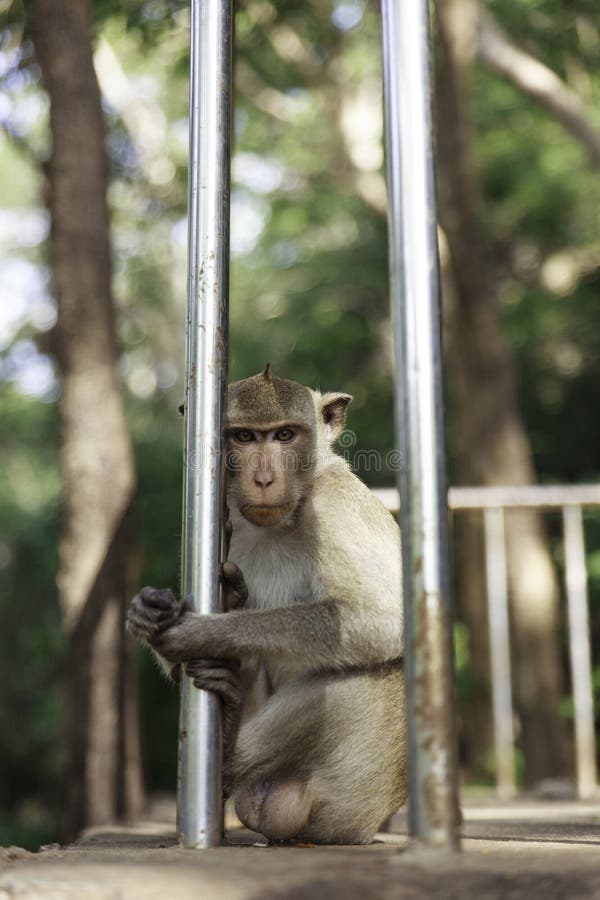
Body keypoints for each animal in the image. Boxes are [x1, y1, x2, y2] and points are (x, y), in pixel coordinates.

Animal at [127, 367, 406, 845]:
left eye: (284, 435)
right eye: (243, 437)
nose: (262, 479)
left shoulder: (335, 502)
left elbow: (384, 620)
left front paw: (199, 632)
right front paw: (148, 613)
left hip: (353, 795)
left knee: (370, 671)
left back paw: (228, 746)